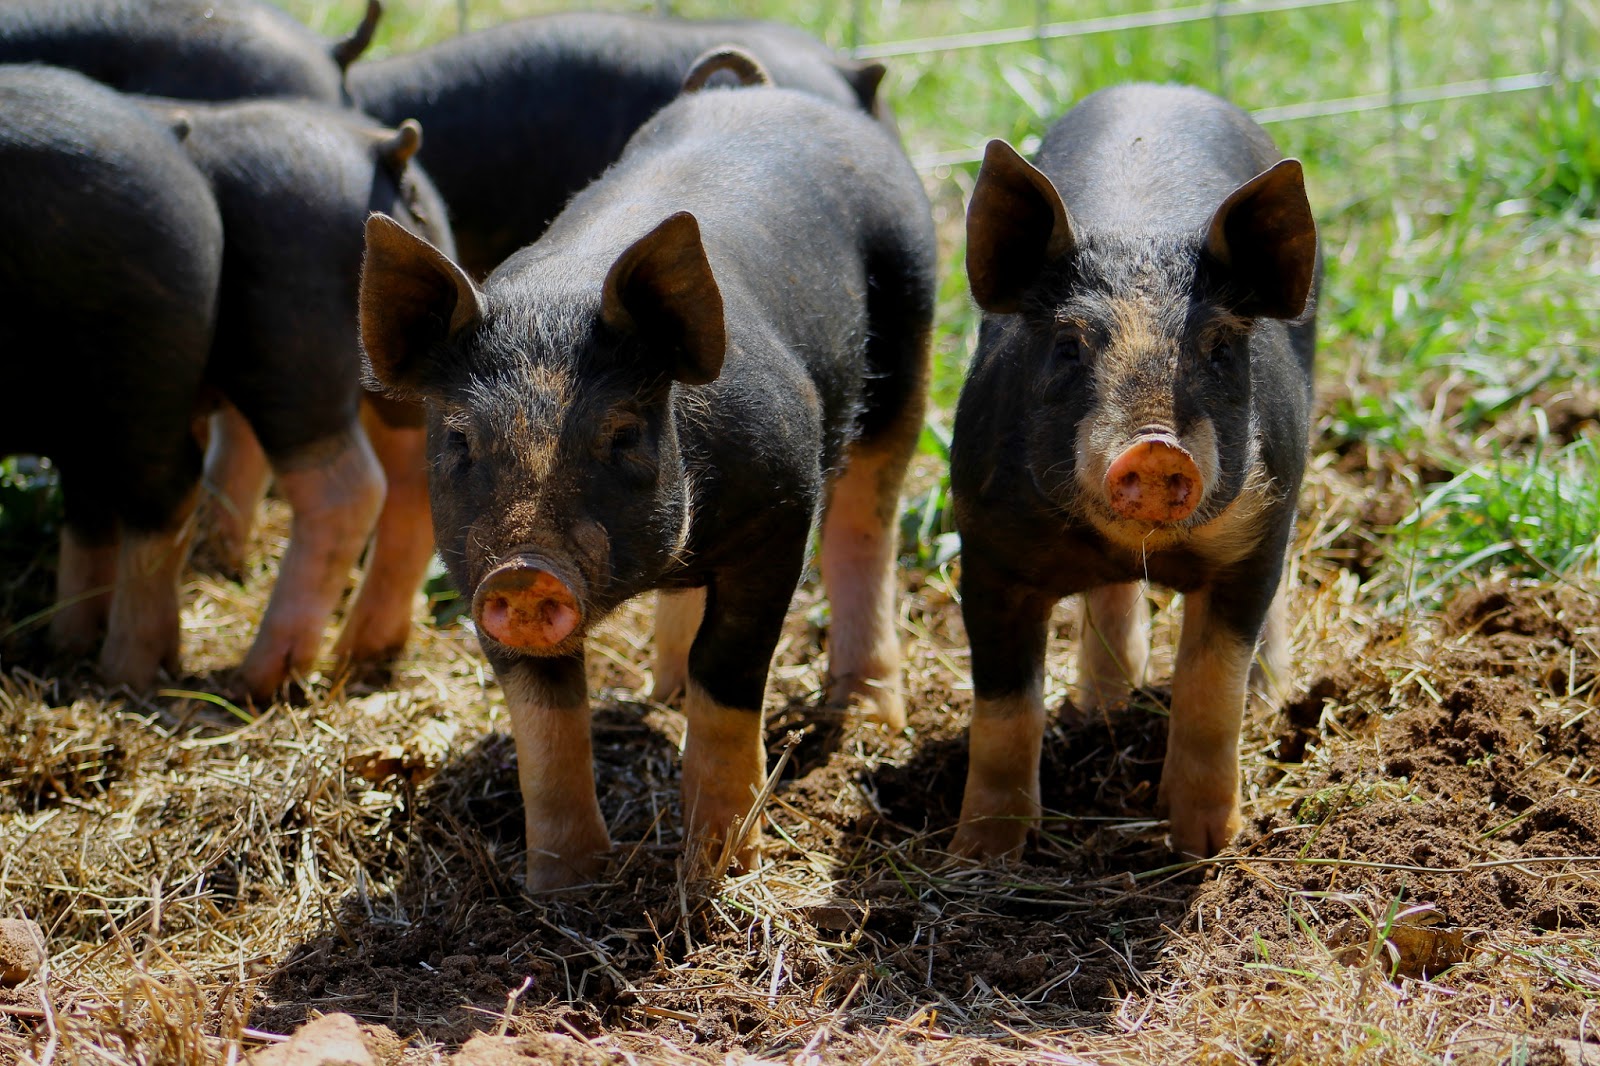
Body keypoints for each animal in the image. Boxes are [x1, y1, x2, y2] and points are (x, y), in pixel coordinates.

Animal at [154, 99, 454, 698]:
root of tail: (387, 152)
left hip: (291, 359)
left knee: (348, 491)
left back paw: (256, 681)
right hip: (393, 374)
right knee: (412, 480)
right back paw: (363, 658)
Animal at [358, 69, 936, 889]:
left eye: (623, 434)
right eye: (463, 437)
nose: (526, 571)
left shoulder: (782, 514)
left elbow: (727, 672)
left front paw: (721, 868)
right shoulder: (471, 566)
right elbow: (545, 713)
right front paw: (565, 885)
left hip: (909, 339)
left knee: (867, 524)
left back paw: (867, 713)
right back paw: (663, 694)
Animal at [949, 83, 1318, 861]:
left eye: (1218, 347)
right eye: (1068, 344)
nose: (1155, 449)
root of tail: (1162, 88)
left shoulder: (1253, 537)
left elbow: (1211, 689)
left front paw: (1206, 846)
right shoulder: (986, 548)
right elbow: (1005, 708)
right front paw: (982, 855)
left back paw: (1269, 697)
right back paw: (1099, 708)